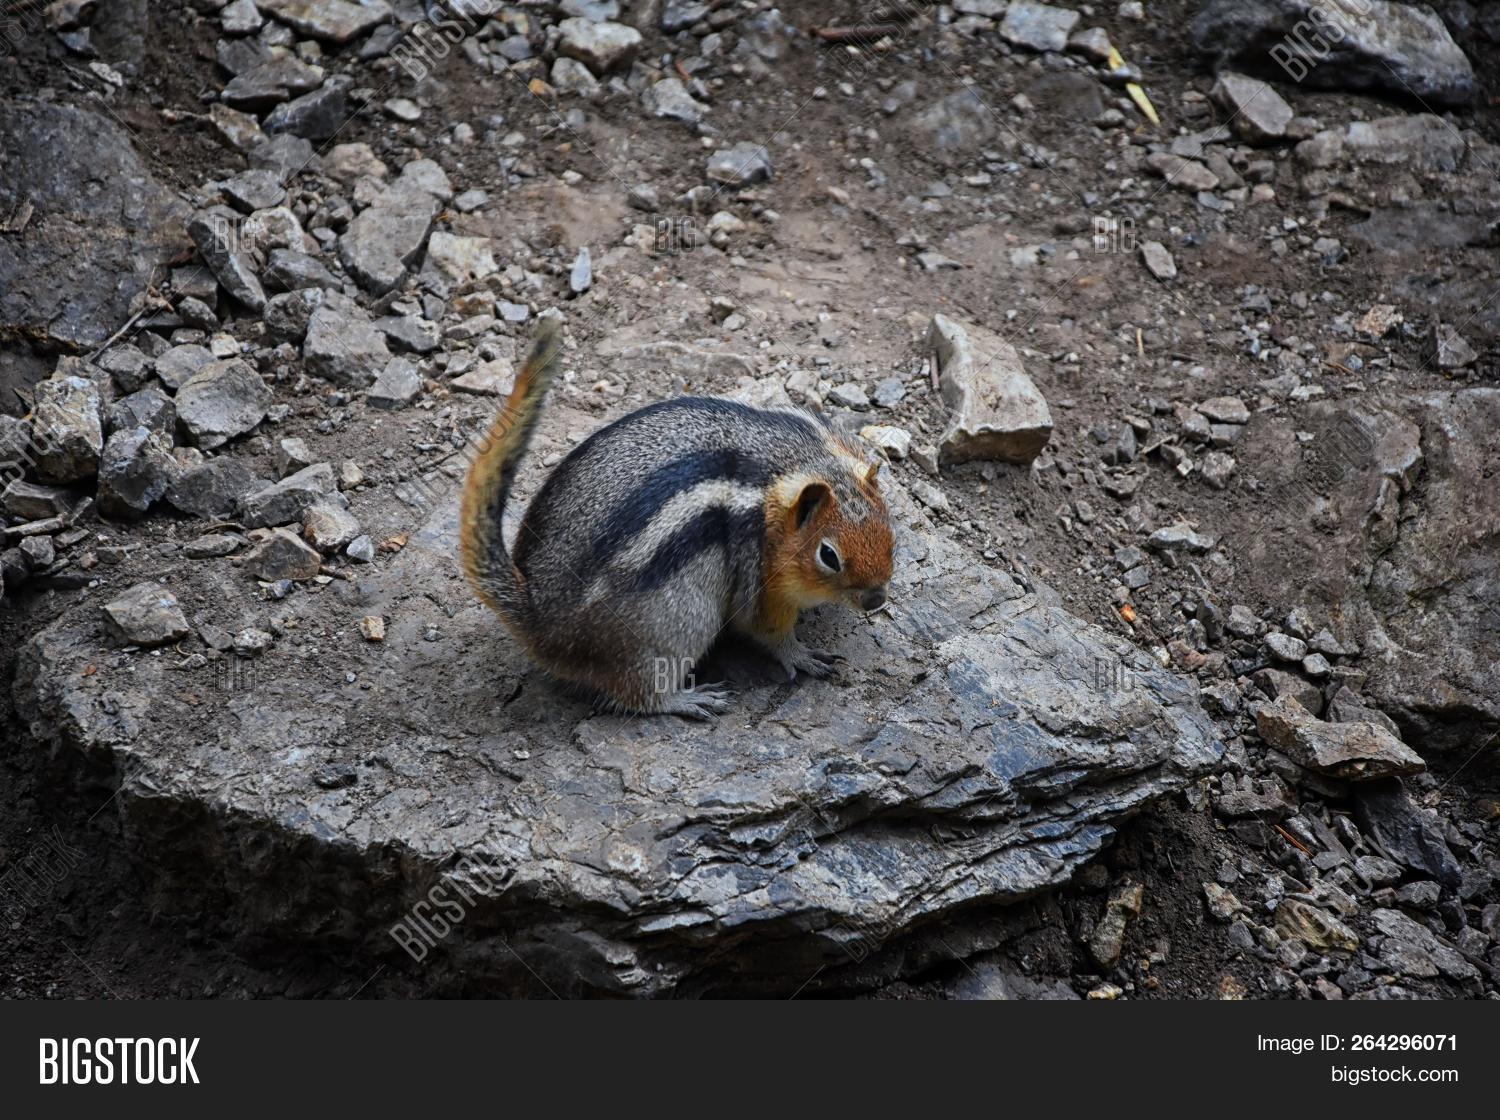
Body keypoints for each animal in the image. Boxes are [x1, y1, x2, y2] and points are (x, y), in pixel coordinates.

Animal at [459, 319, 895, 719]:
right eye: (828, 556)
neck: (799, 464)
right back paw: (686, 699)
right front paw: (802, 655)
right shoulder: (756, 575)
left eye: (892, 535)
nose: (876, 600)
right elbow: (766, 629)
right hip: (675, 626)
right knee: (637, 694)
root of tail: (537, 619)